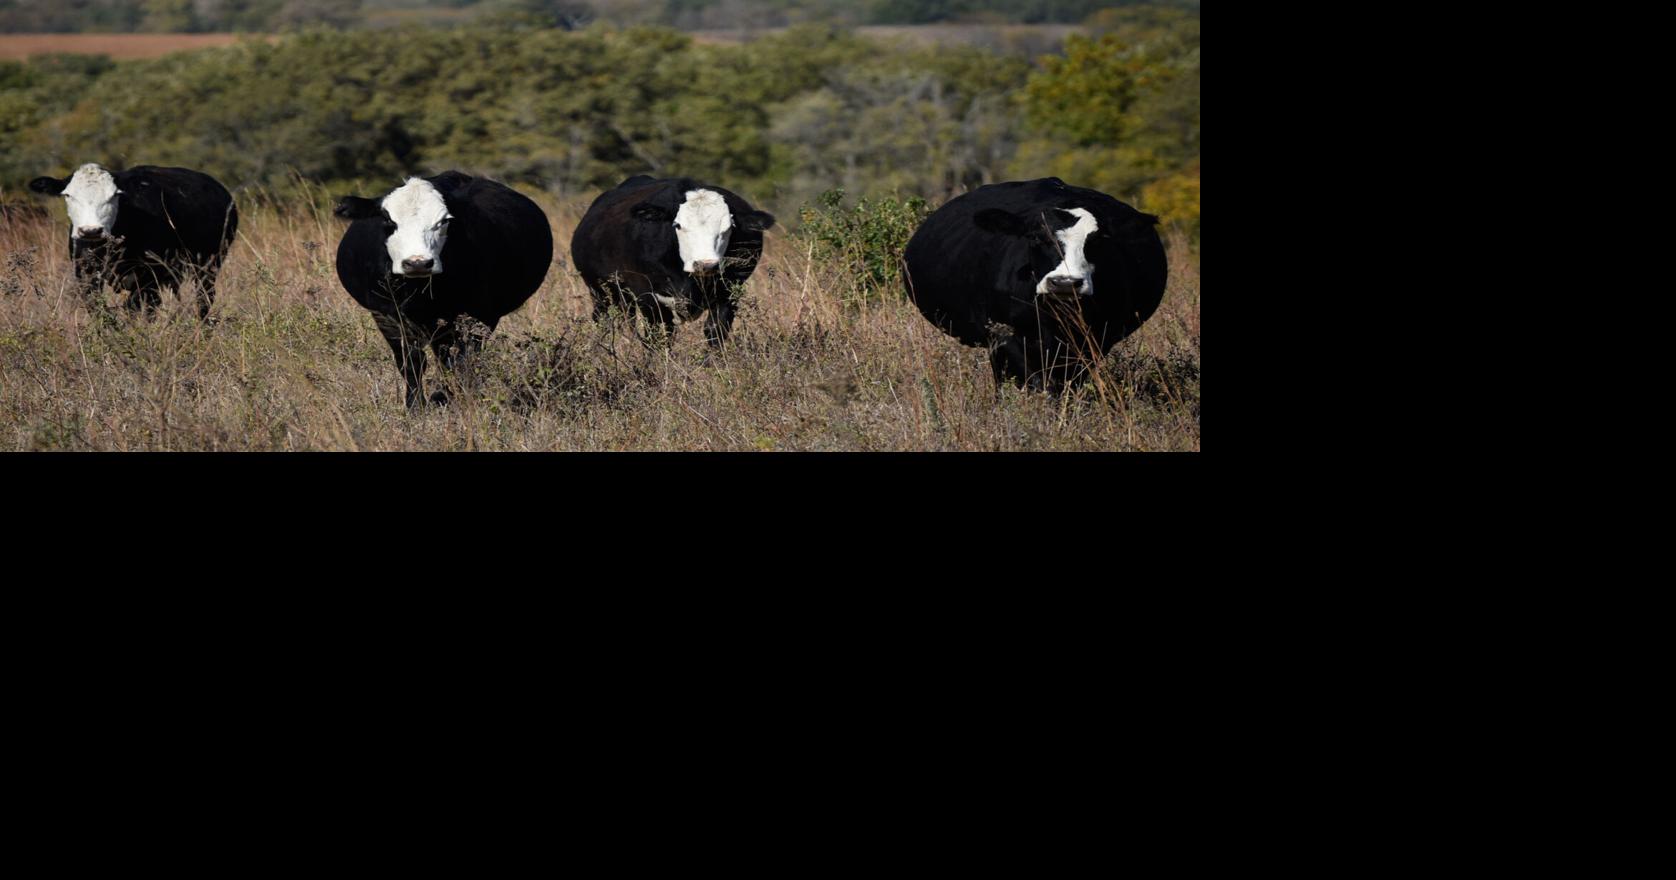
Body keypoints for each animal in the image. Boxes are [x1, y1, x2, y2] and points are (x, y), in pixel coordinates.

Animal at [28, 163, 238, 320]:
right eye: (68, 195)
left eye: (115, 195)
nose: (91, 230)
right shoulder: (85, 275)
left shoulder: (149, 276)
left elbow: (135, 309)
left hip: (208, 266)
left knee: (203, 300)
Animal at [334, 171, 553, 408]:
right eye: (388, 219)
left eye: (444, 221)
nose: (418, 262)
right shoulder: (385, 315)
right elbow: (411, 363)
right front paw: (415, 407)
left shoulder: (479, 316)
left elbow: (460, 363)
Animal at [571, 176, 776, 347]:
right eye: (678, 225)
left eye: (729, 227)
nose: (706, 264)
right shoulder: (647, 296)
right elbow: (656, 336)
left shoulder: (729, 292)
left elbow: (715, 332)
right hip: (601, 292)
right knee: (604, 321)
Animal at [902, 178, 1167, 393]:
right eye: (1037, 237)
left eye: (1097, 240)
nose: (1065, 282)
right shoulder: (1005, 336)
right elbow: (1035, 383)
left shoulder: (1097, 340)